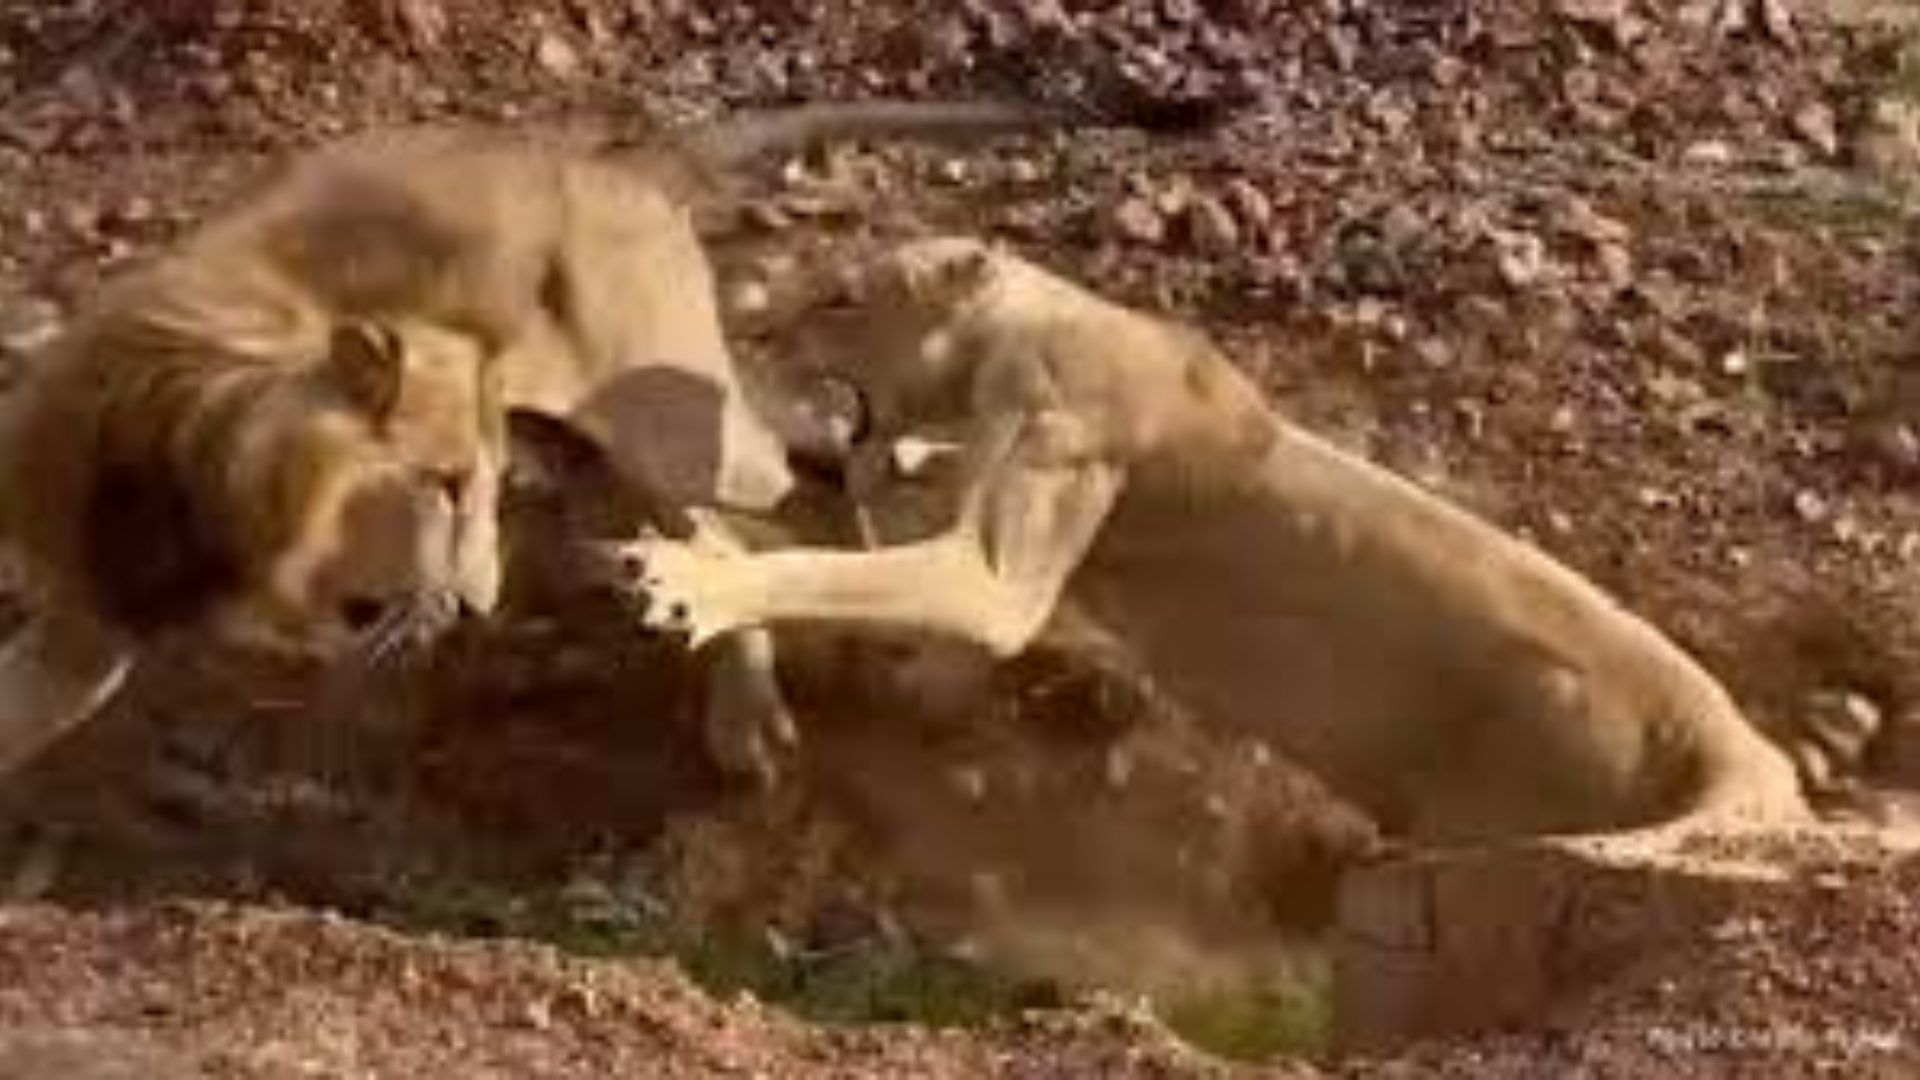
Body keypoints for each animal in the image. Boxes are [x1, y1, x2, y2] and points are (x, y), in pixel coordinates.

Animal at [0, 101, 1222, 785]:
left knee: (767, 504)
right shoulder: (80, 620)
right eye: (445, 485)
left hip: (672, 428)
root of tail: (615, 167)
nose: (478, 606)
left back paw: (765, 710)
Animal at [613, 237, 1812, 843]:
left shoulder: (1025, 522)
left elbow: (874, 574)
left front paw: (690, 582)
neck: (1027, 331)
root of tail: (1735, 742)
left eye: (842, 298)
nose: (755, 320)